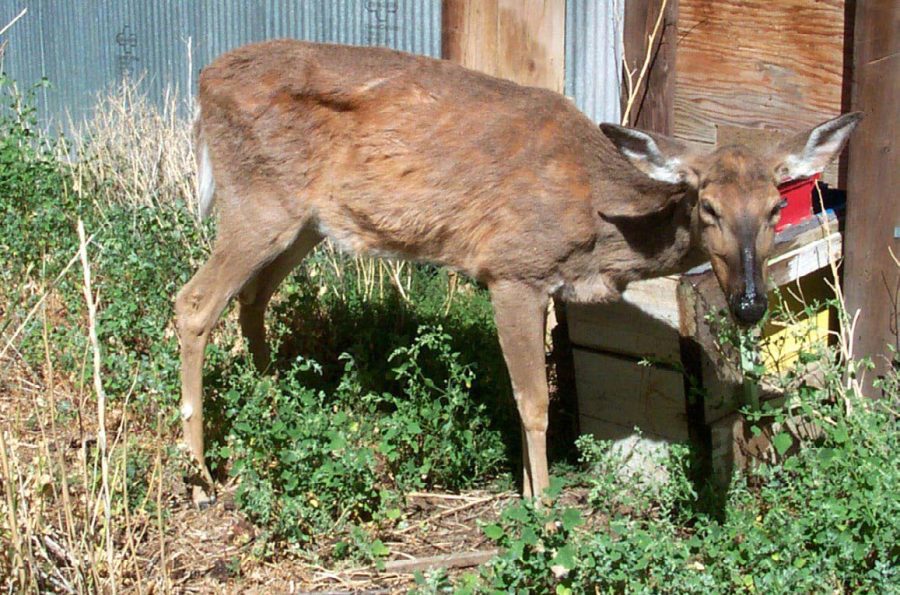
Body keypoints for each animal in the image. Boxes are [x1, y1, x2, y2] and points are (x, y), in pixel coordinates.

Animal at [175, 39, 861, 508]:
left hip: (306, 222)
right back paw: (204, 477)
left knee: (252, 299)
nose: (748, 304)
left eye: (775, 208)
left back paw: (274, 406)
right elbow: (533, 402)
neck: (598, 222)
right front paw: (545, 508)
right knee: (193, 303)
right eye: (707, 205)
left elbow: (524, 395)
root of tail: (202, 83)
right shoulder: (510, 270)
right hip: (257, 202)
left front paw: (533, 493)